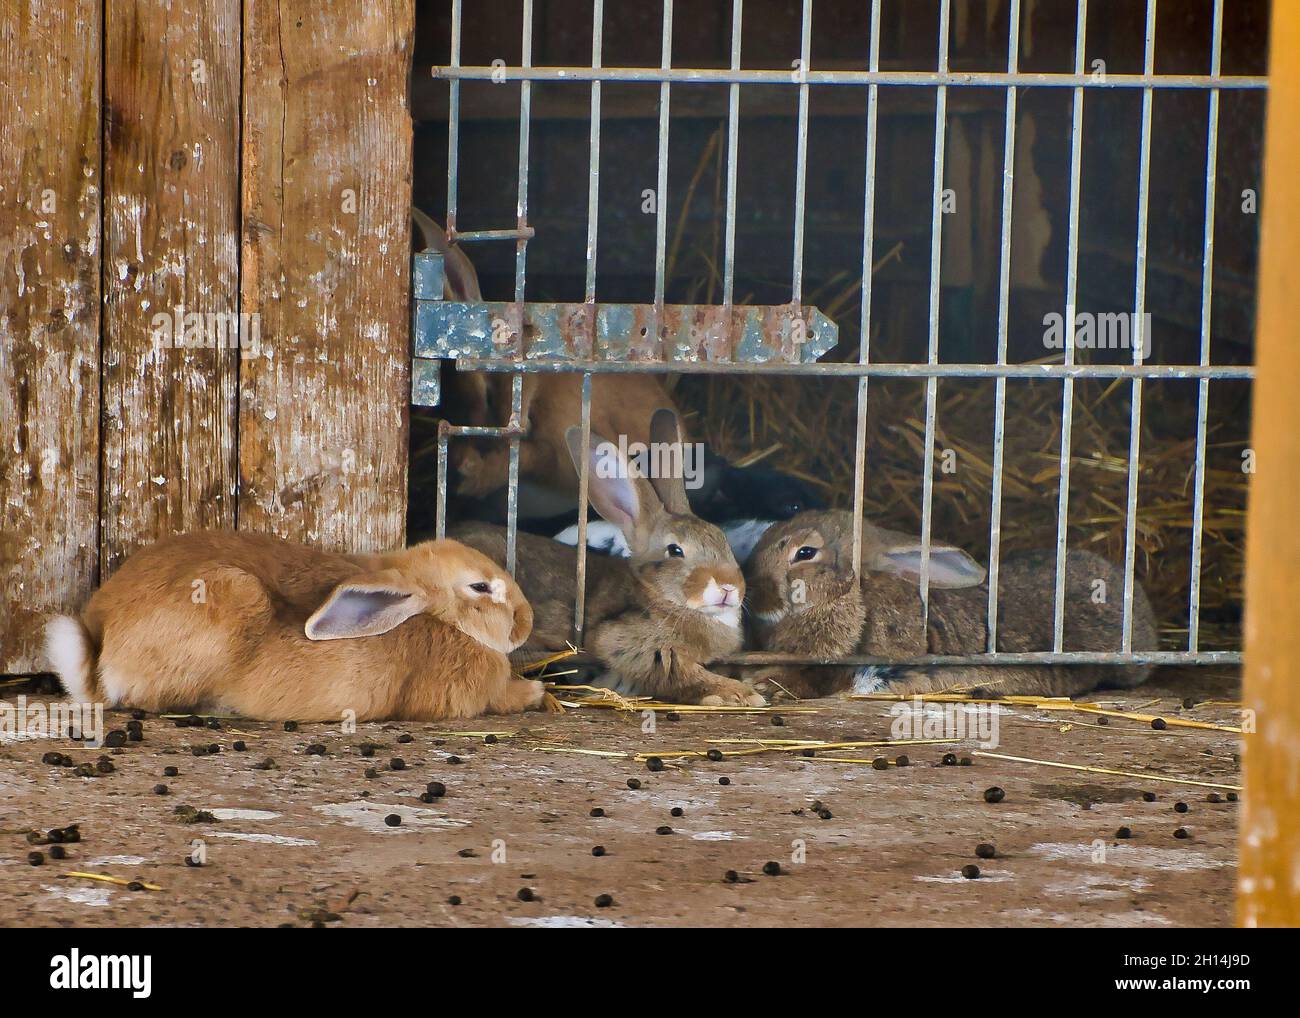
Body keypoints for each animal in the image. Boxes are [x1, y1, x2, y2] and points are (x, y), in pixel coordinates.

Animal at [453, 409, 765, 706]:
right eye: (675, 551)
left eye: (722, 539)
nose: (729, 587)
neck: (659, 597)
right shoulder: (637, 646)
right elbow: (683, 673)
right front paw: (738, 694)